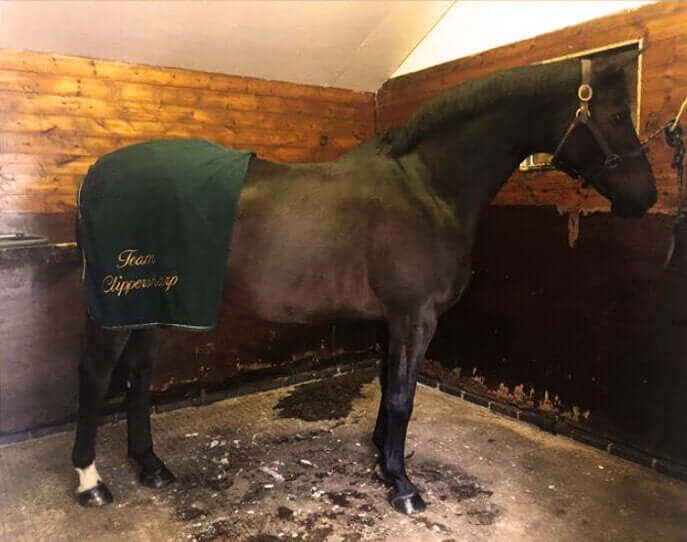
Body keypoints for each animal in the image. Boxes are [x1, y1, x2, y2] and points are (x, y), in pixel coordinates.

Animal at [71, 49, 656, 514]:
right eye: (617, 113)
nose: (646, 197)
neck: (426, 187)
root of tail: (97, 174)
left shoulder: (391, 318)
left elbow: (387, 384)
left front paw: (381, 456)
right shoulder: (415, 316)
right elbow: (401, 396)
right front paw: (403, 486)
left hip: (151, 309)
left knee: (137, 378)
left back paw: (150, 466)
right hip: (117, 313)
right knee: (96, 379)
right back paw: (89, 482)